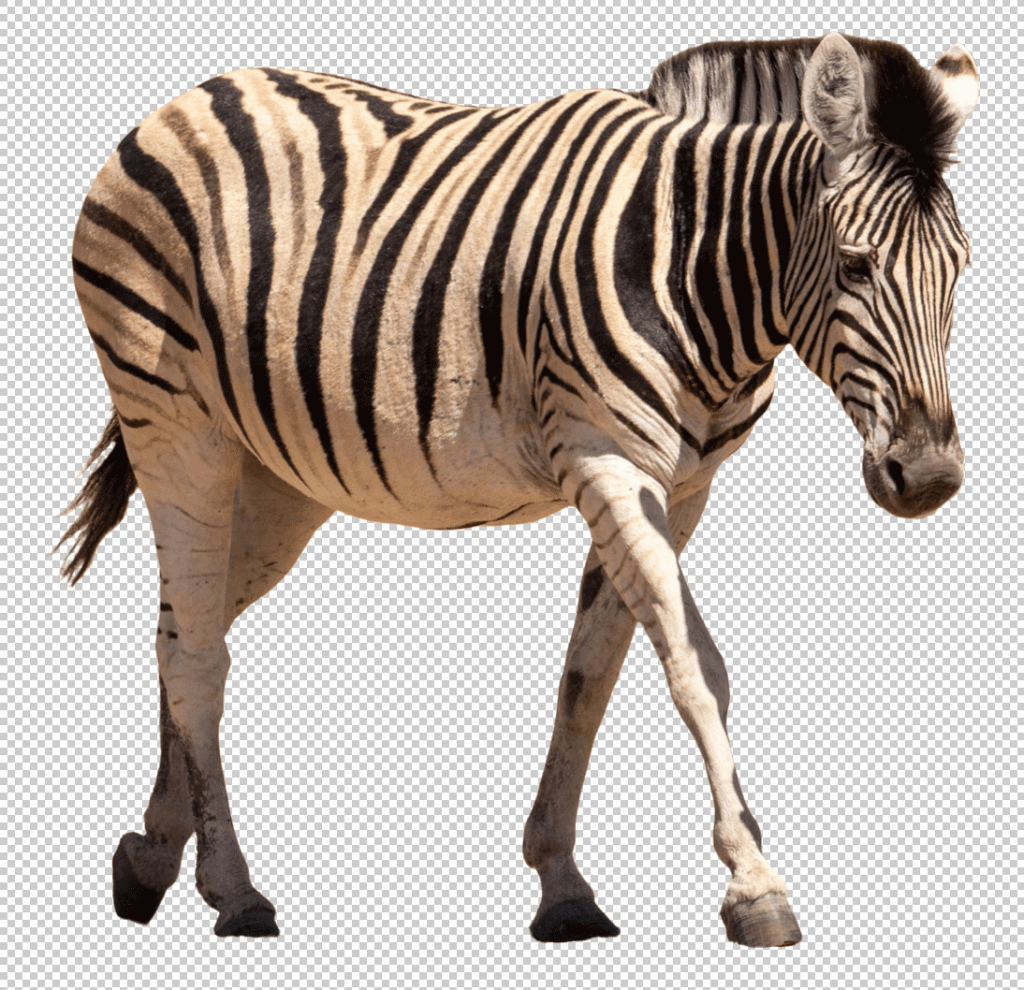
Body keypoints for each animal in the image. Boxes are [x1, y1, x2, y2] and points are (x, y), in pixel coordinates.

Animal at [58, 32, 978, 945]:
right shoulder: (610, 461)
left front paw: (562, 882)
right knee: (196, 651)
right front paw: (754, 882)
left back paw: (152, 854)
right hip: (176, 423)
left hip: (278, 477)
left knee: (184, 625)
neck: (693, 265)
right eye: (856, 268)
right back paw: (233, 889)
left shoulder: (679, 489)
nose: (929, 478)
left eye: (962, 270)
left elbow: (589, 675)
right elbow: (693, 664)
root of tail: (191, 96)